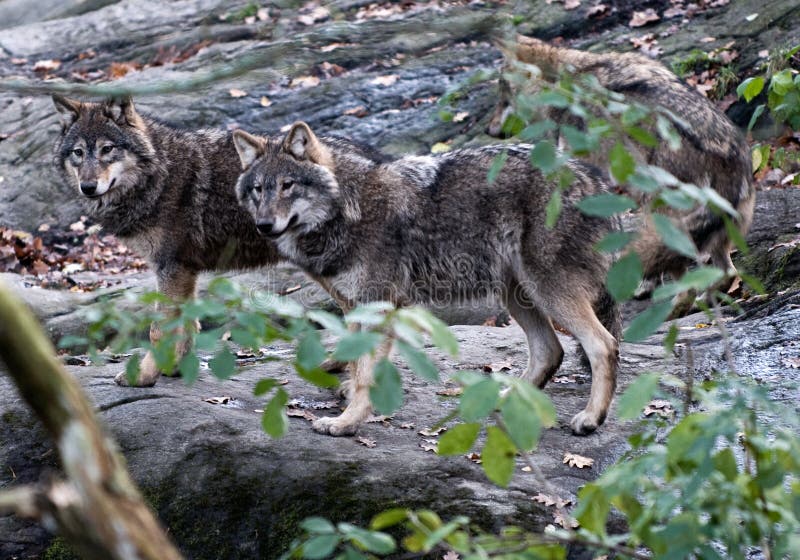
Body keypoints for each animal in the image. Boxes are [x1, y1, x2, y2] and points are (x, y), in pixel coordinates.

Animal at [52, 95, 283, 387]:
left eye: (107, 149)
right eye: (78, 153)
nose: (88, 187)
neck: (159, 175)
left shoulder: (171, 267)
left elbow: (158, 330)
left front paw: (143, 376)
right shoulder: (184, 270)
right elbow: (186, 324)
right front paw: (175, 368)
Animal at [231, 122, 621, 436]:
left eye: (287, 185)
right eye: (258, 189)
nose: (264, 225)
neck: (348, 209)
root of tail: (595, 179)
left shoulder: (378, 306)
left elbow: (365, 374)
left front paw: (346, 423)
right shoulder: (356, 307)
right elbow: (357, 366)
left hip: (546, 290)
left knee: (602, 344)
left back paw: (590, 419)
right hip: (516, 293)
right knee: (550, 351)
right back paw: (503, 400)